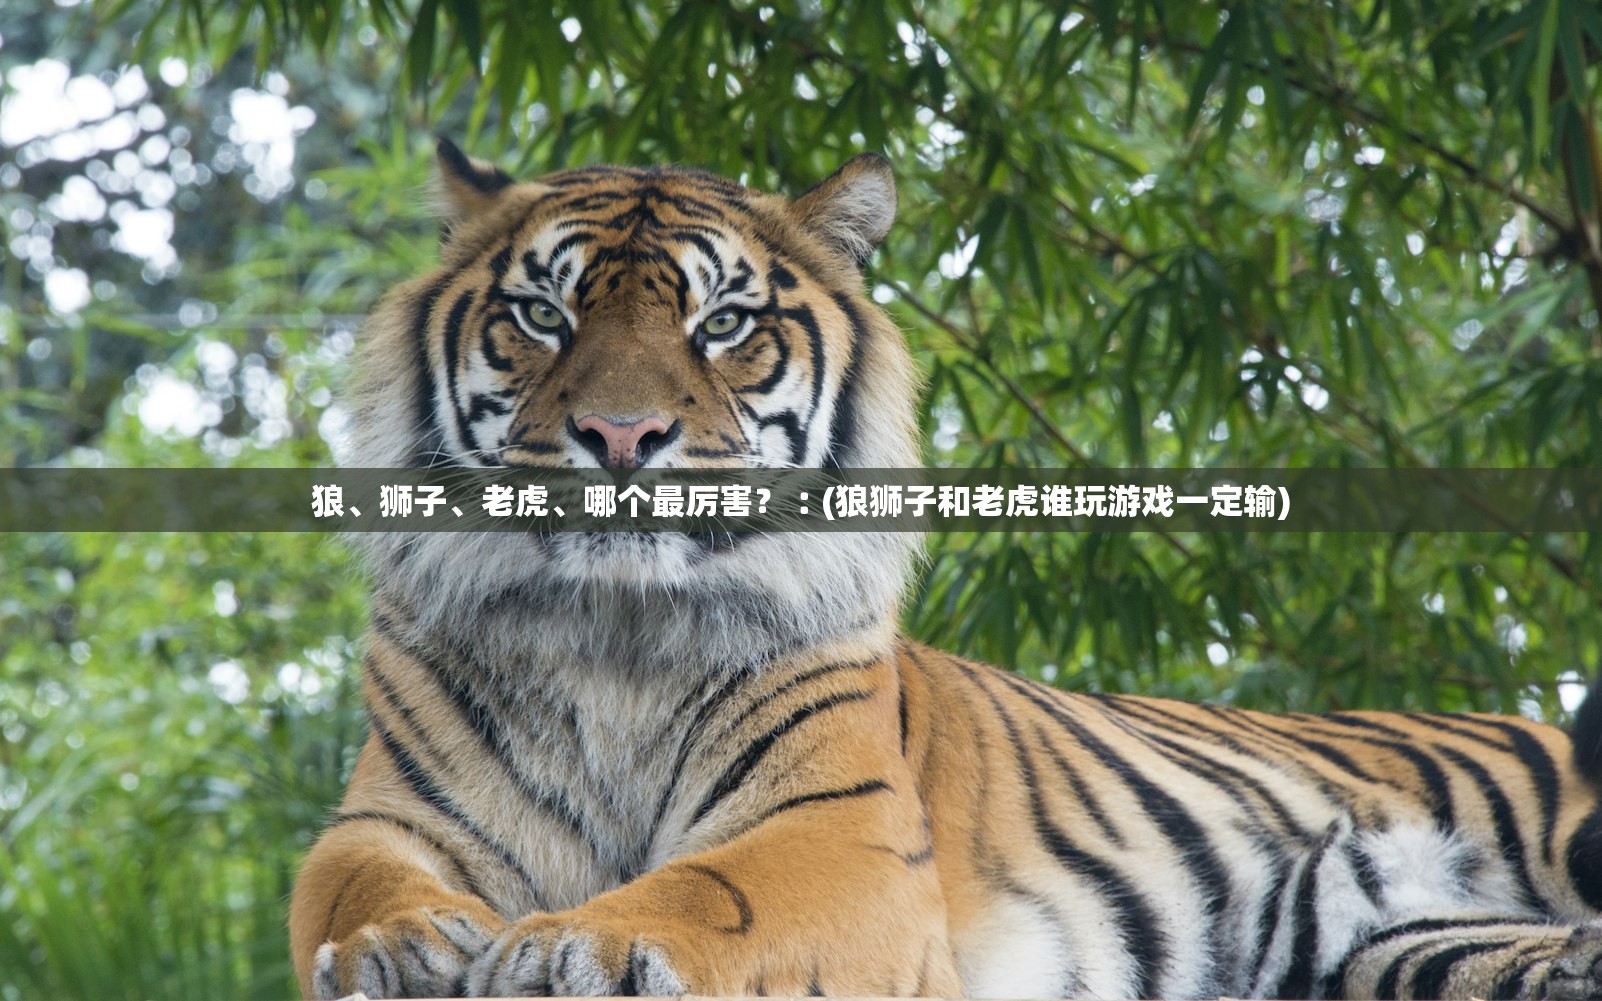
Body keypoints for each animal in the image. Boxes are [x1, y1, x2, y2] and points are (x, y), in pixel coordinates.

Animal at [289, 140, 1602, 1001]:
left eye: (723, 323)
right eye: (543, 315)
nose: (620, 435)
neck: (617, 628)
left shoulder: (834, 828)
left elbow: (706, 888)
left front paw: (576, 947)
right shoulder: (388, 816)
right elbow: (349, 885)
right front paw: (401, 948)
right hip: (1405, 949)